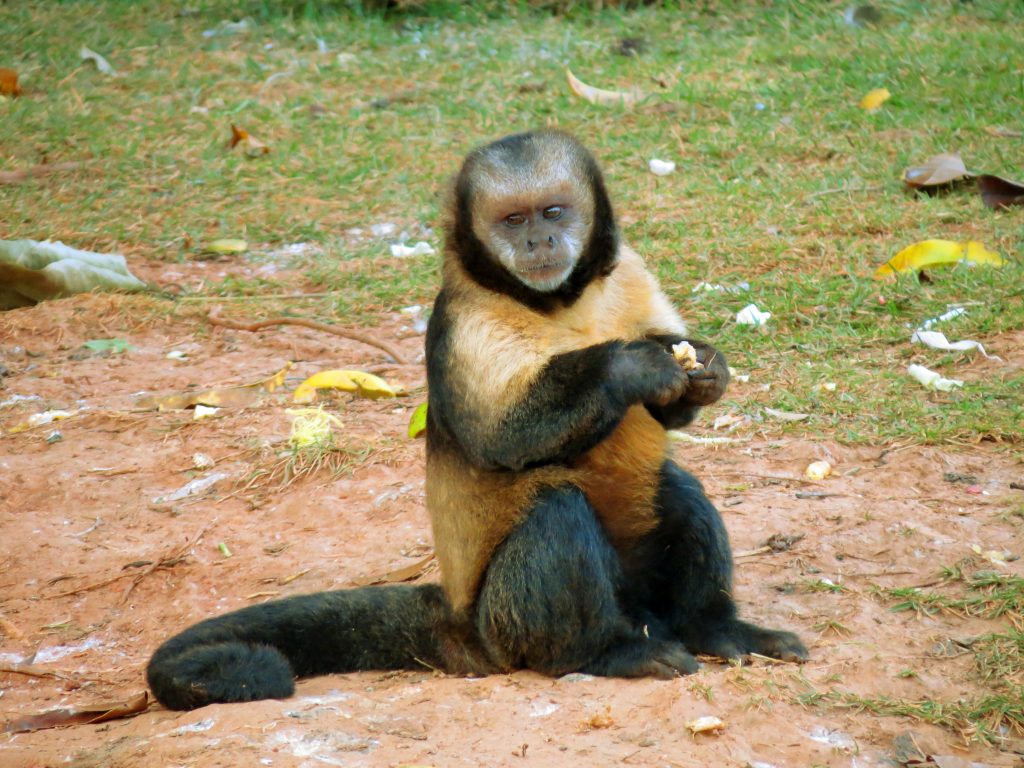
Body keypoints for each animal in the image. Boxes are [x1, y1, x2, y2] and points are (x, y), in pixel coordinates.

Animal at [146, 130, 807, 711]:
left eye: (552, 212)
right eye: (513, 221)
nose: (540, 242)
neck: (558, 301)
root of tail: (464, 623)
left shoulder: (629, 269)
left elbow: (673, 407)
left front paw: (705, 369)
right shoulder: (463, 315)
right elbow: (501, 437)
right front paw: (630, 367)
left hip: (637, 595)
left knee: (676, 489)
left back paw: (711, 629)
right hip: (505, 623)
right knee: (555, 512)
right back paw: (602, 653)